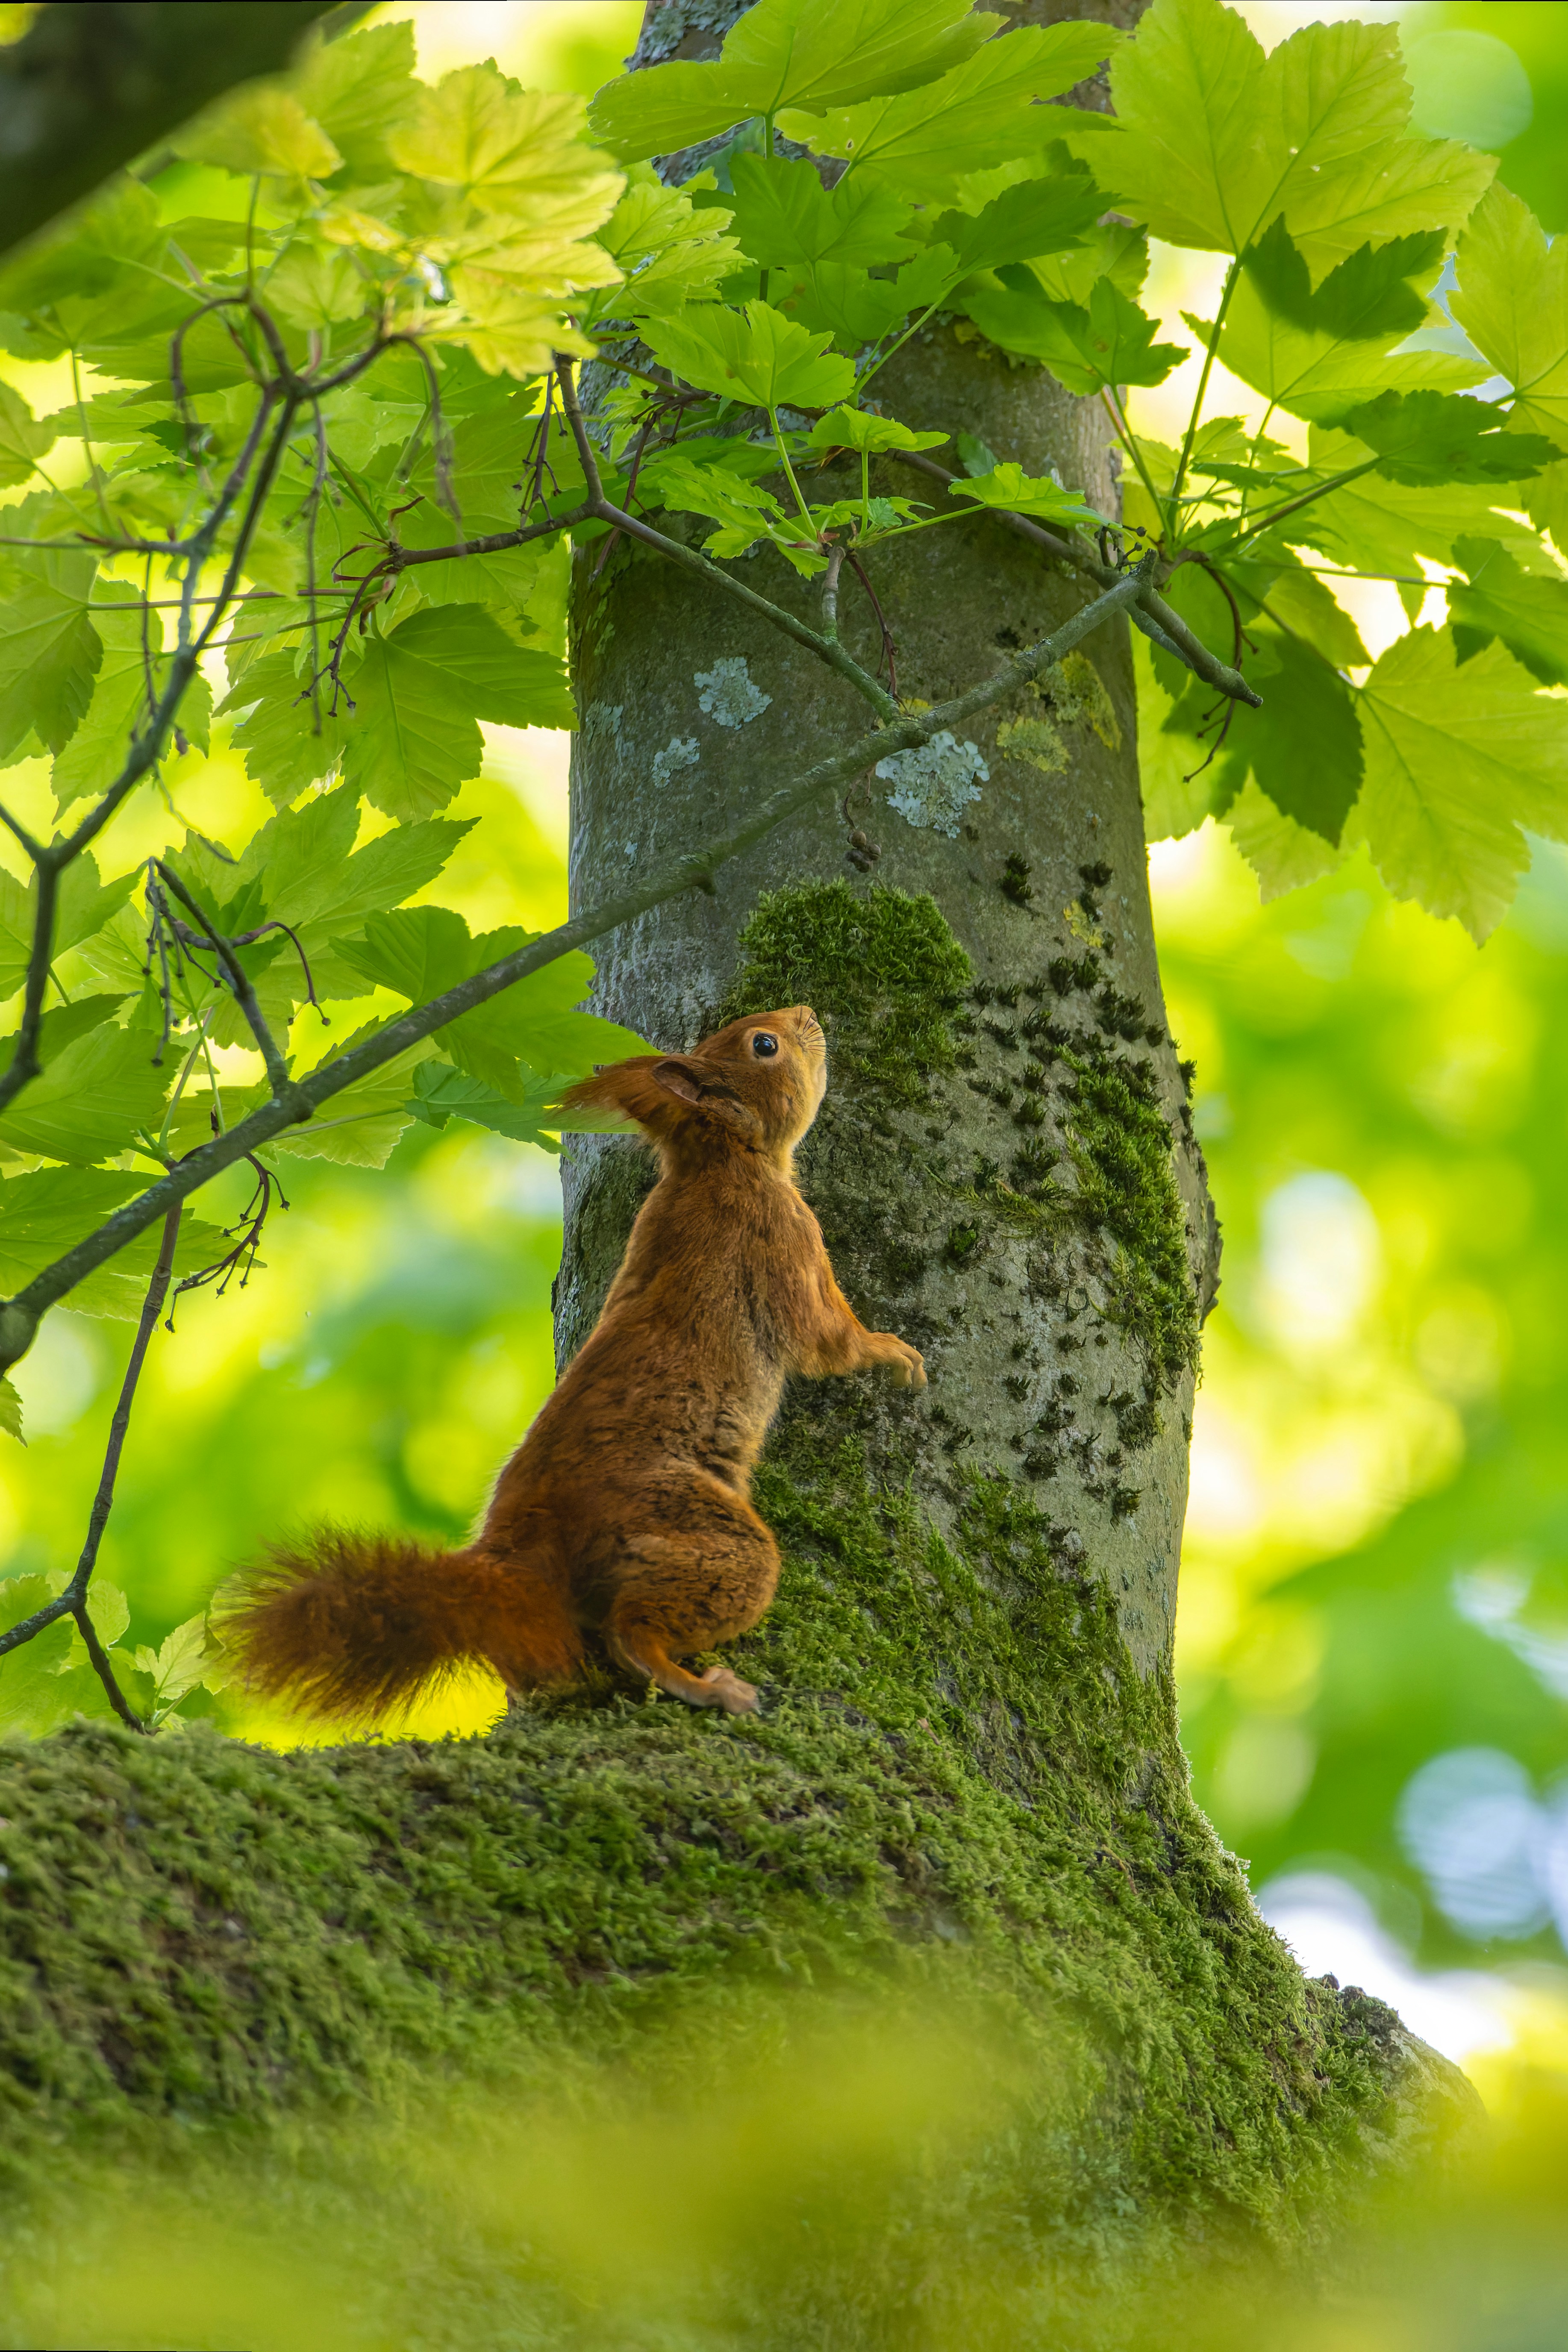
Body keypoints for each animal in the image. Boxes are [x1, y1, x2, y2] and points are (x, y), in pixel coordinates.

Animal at [223, 1004, 926, 1721]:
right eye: (764, 1045)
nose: (807, 1014)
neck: (717, 1161)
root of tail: (522, 1545)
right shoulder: (780, 1233)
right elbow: (824, 1337)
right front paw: (892, 1354)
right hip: (694, 1527)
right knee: (634, 1631)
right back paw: (700, 1683)